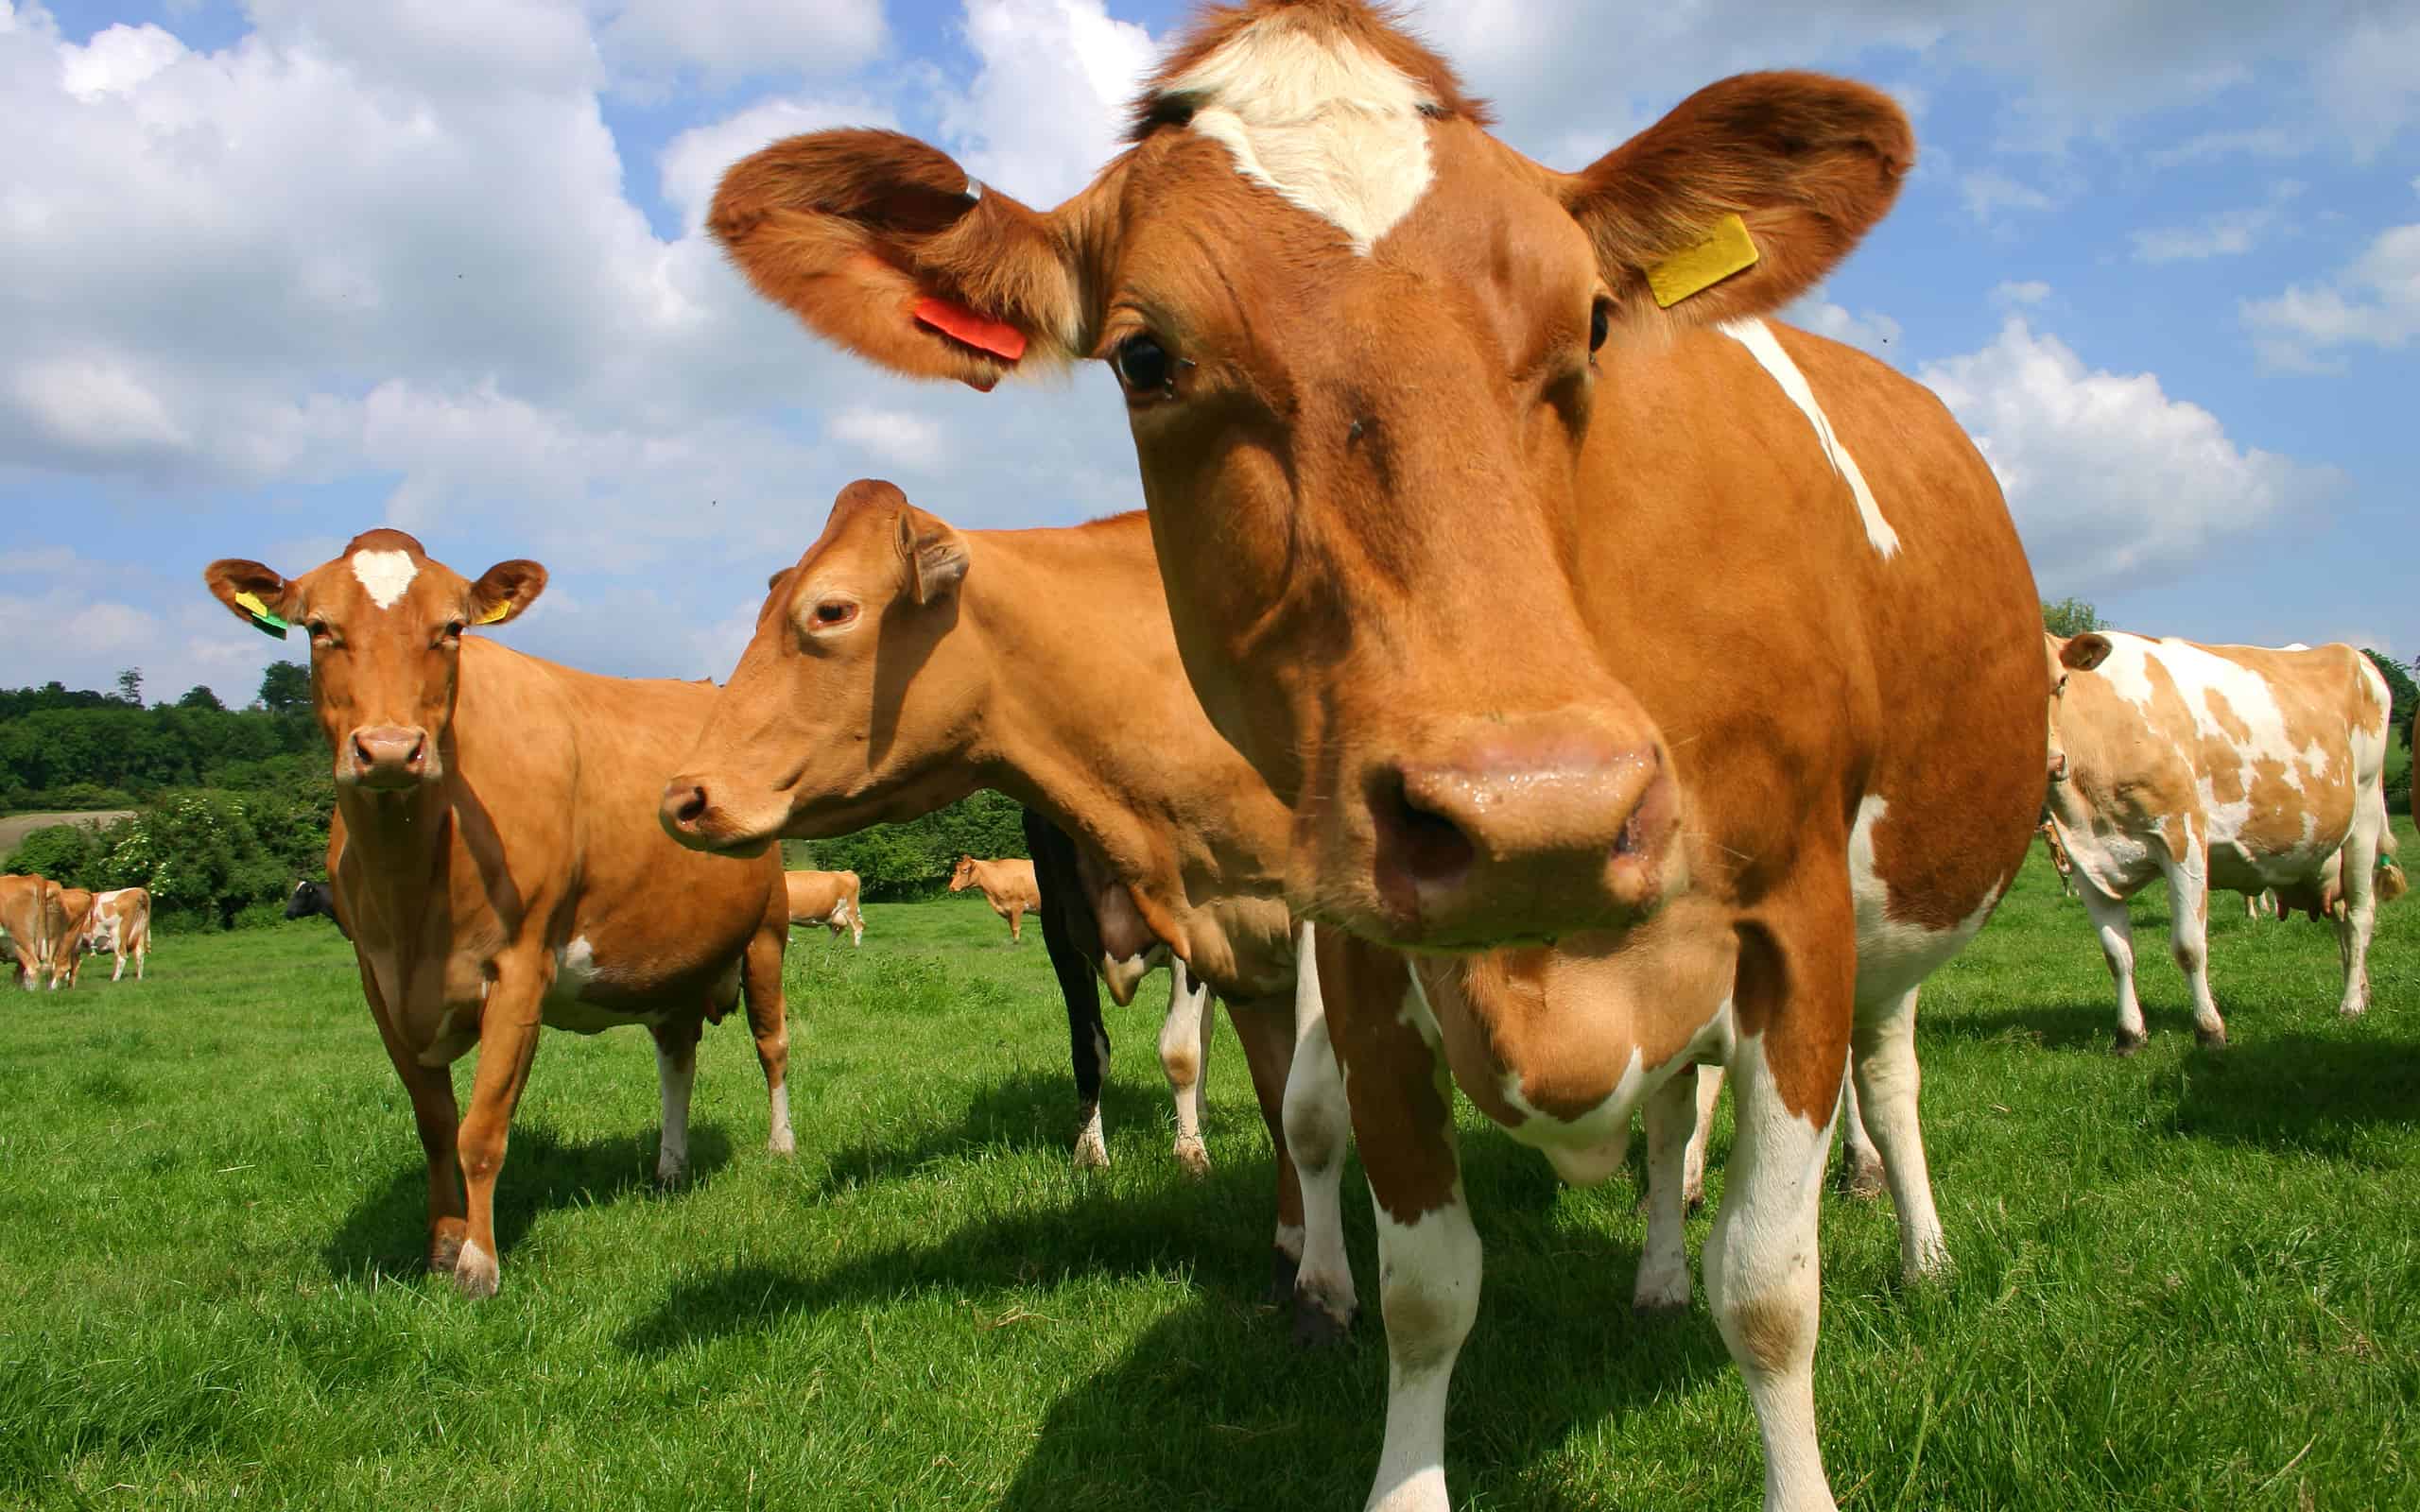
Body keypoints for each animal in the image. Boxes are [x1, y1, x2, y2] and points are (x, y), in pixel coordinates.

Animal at [203, 529, 796, 1299]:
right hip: (672, 955)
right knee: (677, 1054)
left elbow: (482, 1130)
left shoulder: (521, 970)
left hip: (768, 932)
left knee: (771, 1042)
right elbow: (435, 1125)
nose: (389, 749)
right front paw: (440, 1244)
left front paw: (478, 1265)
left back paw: (781, 1145)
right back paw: (669, 1168)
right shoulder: (378, 983)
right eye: (319, 629)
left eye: (452, 629)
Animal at [704, 6, 2049, 1507]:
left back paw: (1915, 1239)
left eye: (1592, 320)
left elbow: (1767, 1287)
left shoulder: (1796, 928)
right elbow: (1413, 1267)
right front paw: (1354, 1348)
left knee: (1884, 1072)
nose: (1539, 816)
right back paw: (1653, 1271)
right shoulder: (1342, 937)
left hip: (1898, 907)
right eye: (1143, 357)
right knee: (1662, 1122)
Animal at [2045, 631, 2403, 1052]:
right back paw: (2362, 990)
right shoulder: (2086, 860)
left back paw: (2351, 1004)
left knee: (2361, 915)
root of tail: (2355, 657)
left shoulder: (2183, 837)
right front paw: (2130, 1035)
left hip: (2364, 811)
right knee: (2343, 918)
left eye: (2061, 682)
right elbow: (2117, 955)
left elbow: (2189, 947)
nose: (2051, 761)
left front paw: (2209, 1029)